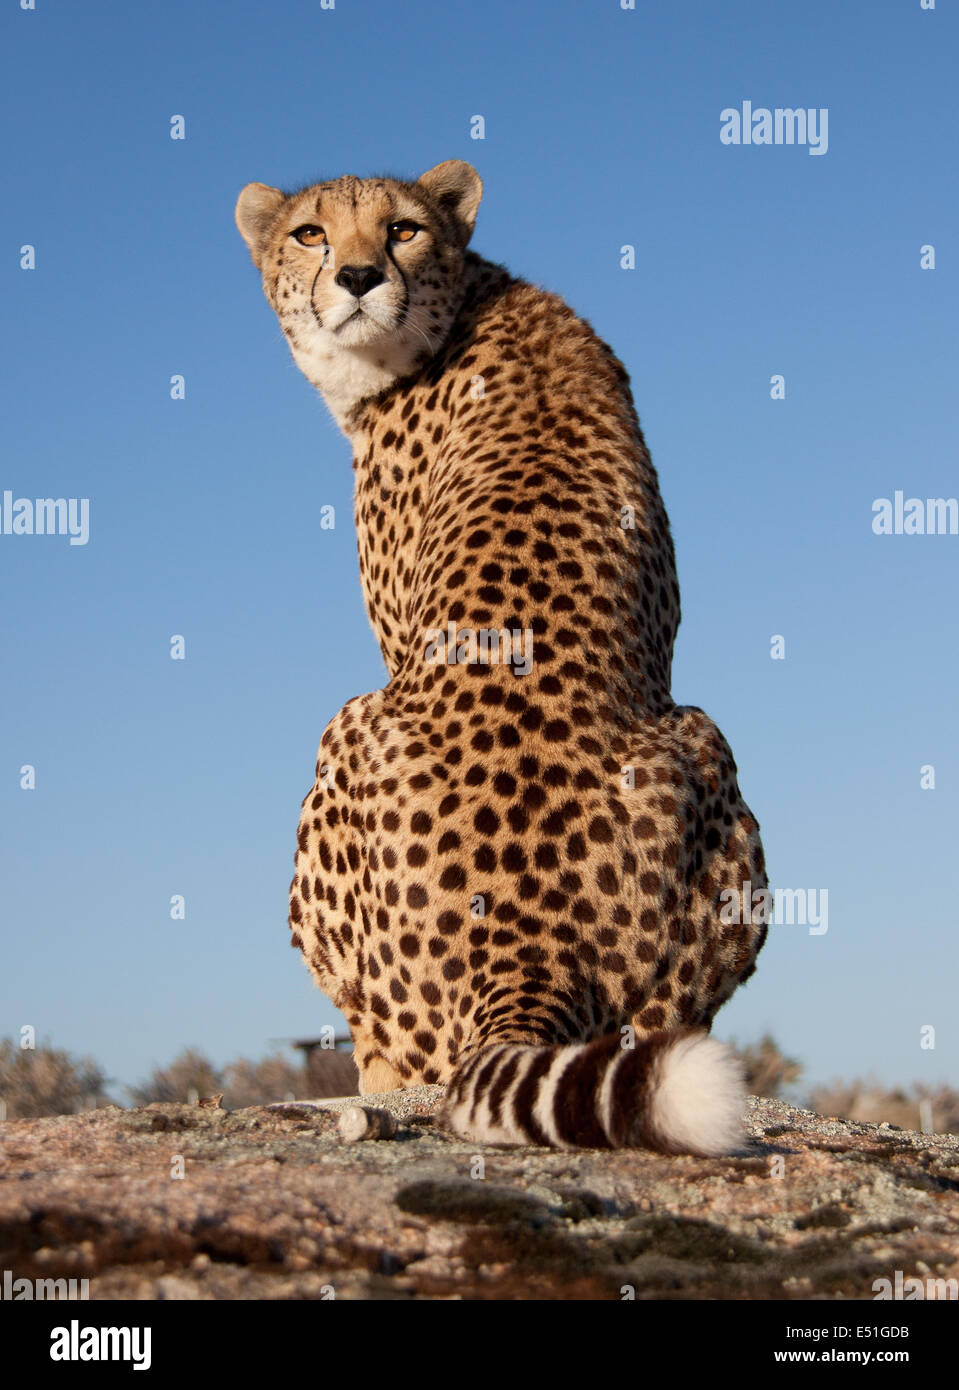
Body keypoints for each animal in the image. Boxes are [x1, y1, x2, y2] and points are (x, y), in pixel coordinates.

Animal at [235, 159, 769, 1155]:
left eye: (402, 230)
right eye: (309, 234)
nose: (358, 277)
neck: (465, 300)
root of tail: (530, 943)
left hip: (347, 722)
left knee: (397, 1049)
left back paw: (369, 1082)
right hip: (702, 743)